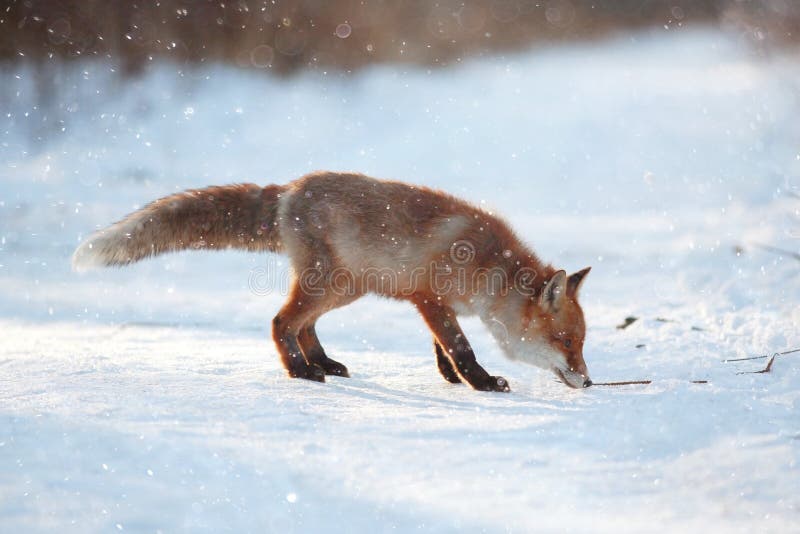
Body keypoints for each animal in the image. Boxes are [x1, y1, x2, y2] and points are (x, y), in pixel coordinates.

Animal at [73, 171, 593, 392]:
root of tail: (290, 190)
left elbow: (443, 347)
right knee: (280, 322)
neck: (489, 270)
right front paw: (481, 383)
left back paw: (322, 361)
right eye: (566, 342)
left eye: (580, 344)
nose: (588, 381)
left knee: (304, 325)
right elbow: (459, 346)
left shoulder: (435, 304)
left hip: (345, 287)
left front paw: (451, 379)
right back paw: (302, 372)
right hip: (329, 285)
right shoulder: (428, 296)